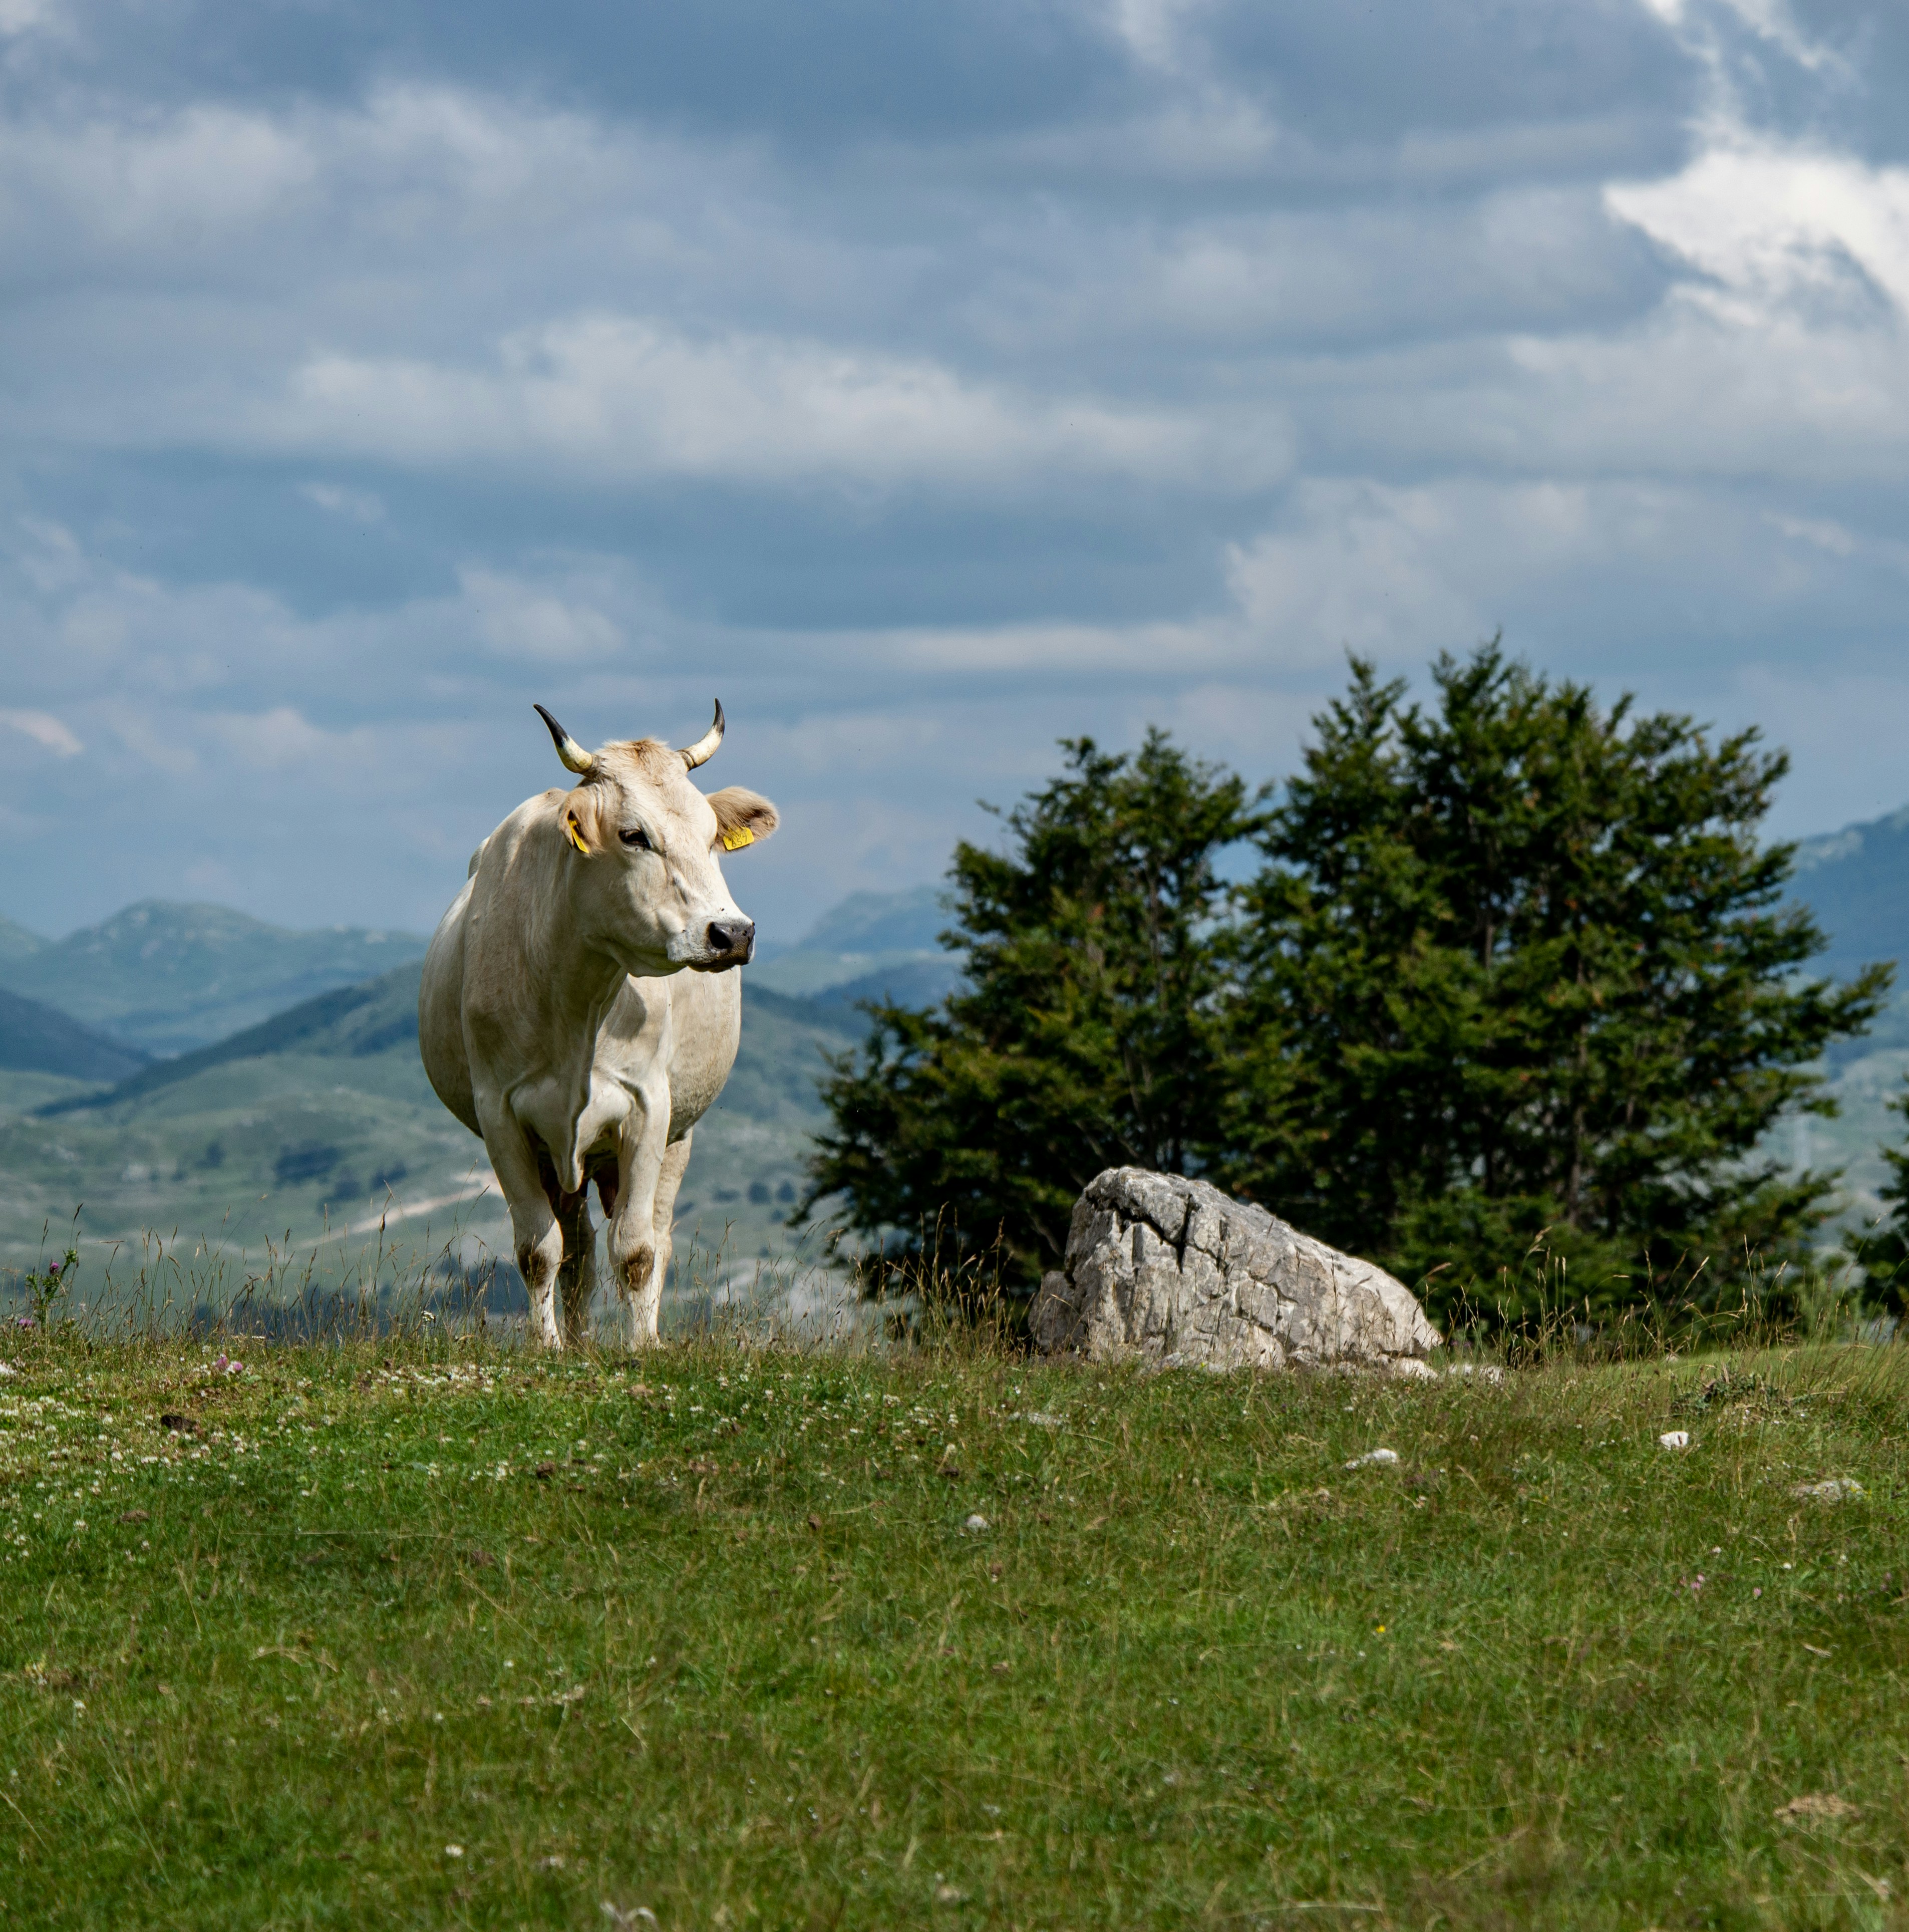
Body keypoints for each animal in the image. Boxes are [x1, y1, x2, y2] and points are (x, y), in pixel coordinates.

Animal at [418, 702, 778, 1348]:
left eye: (711, 835)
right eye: (635, 835)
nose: (732, 933)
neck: (576, 994)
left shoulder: (649, 1106)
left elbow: (636, 1249)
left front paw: (643, 1346)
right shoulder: (501, 1115)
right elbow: (539, 1251)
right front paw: (548, 1346)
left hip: (678, 1134)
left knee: (654, 1236)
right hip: (559, 1158)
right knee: (578, 1248)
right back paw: (581, 1340)